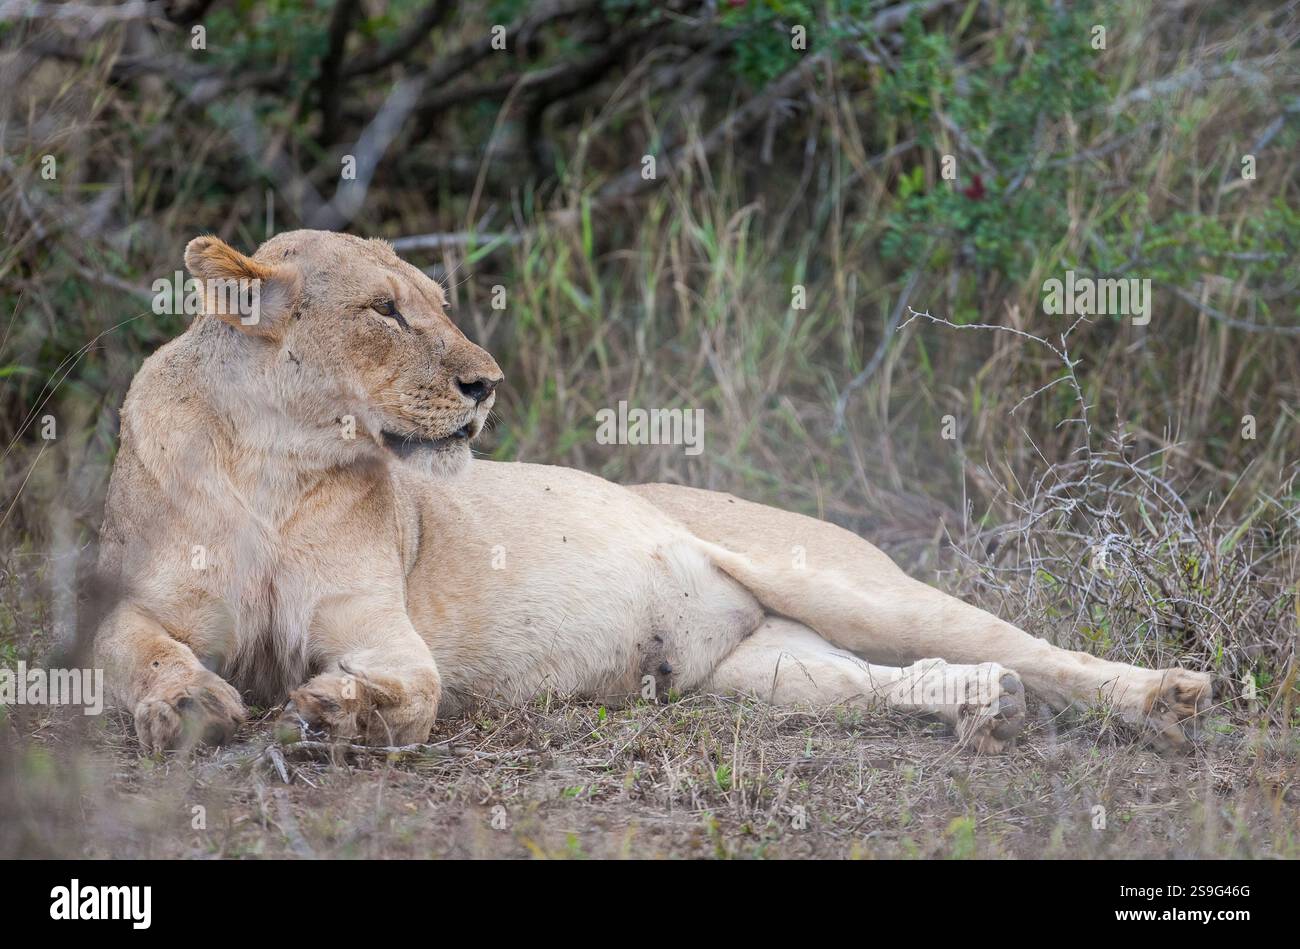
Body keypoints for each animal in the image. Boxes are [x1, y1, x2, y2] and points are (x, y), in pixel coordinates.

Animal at [93, 230, 1213, 756]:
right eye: (382, 310)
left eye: (440, 305)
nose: (486, 383)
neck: (272, 464)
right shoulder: (127, 607)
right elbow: (138, 651)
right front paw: (189, 703)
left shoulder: (382, 624)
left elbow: (412, 693)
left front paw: (341, 712)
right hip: (766, 673)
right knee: (907, 675)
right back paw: (988, 708)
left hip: (840, 582)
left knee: (1024, 642)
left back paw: (1163, 697)